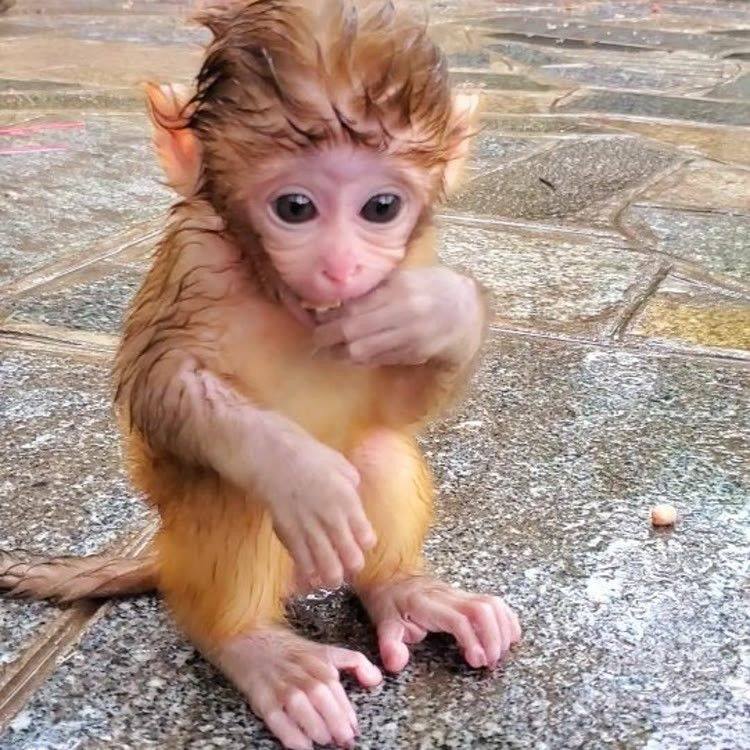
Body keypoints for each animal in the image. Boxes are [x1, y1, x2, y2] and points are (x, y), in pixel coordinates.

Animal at [0, 2, 521, 748]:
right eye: (295, 208)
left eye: (381, 208)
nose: (340, 266)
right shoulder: (194, 262)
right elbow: (160, 383)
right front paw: (298, 473)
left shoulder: (401, 269)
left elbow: (397, 404)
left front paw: (441, 312)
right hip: (200, 543)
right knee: (234, 493)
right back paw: (255, 645)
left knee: (376, 450)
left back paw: (403, 590)